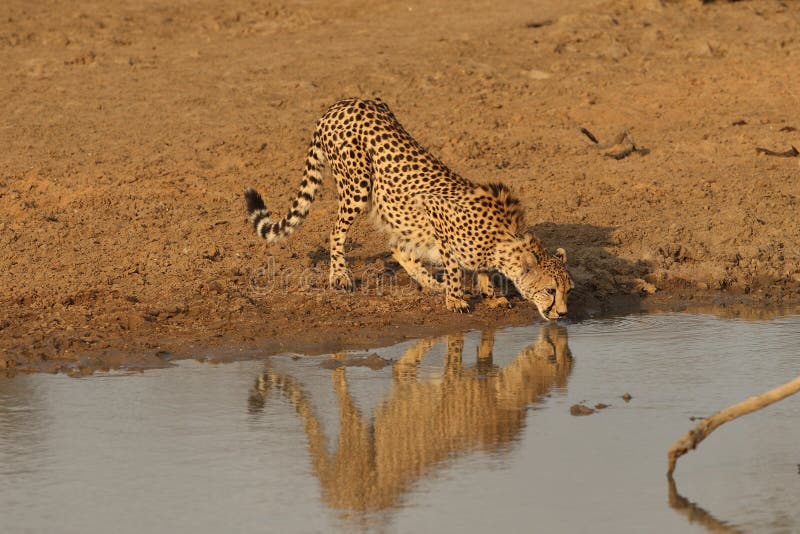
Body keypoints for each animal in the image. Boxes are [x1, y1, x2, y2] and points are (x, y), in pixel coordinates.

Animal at [244, 97, 573, 319]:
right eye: (550, 290)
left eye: (568, 290)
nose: (563, 314)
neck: (503, 238)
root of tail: (340, 103)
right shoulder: (436, 213)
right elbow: (454, 266)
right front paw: (456, 299)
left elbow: (474, 267)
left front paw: (488, 293)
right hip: (357, 185)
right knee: (337, 231)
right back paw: (340, 275)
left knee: (397, 247)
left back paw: (431, 283)